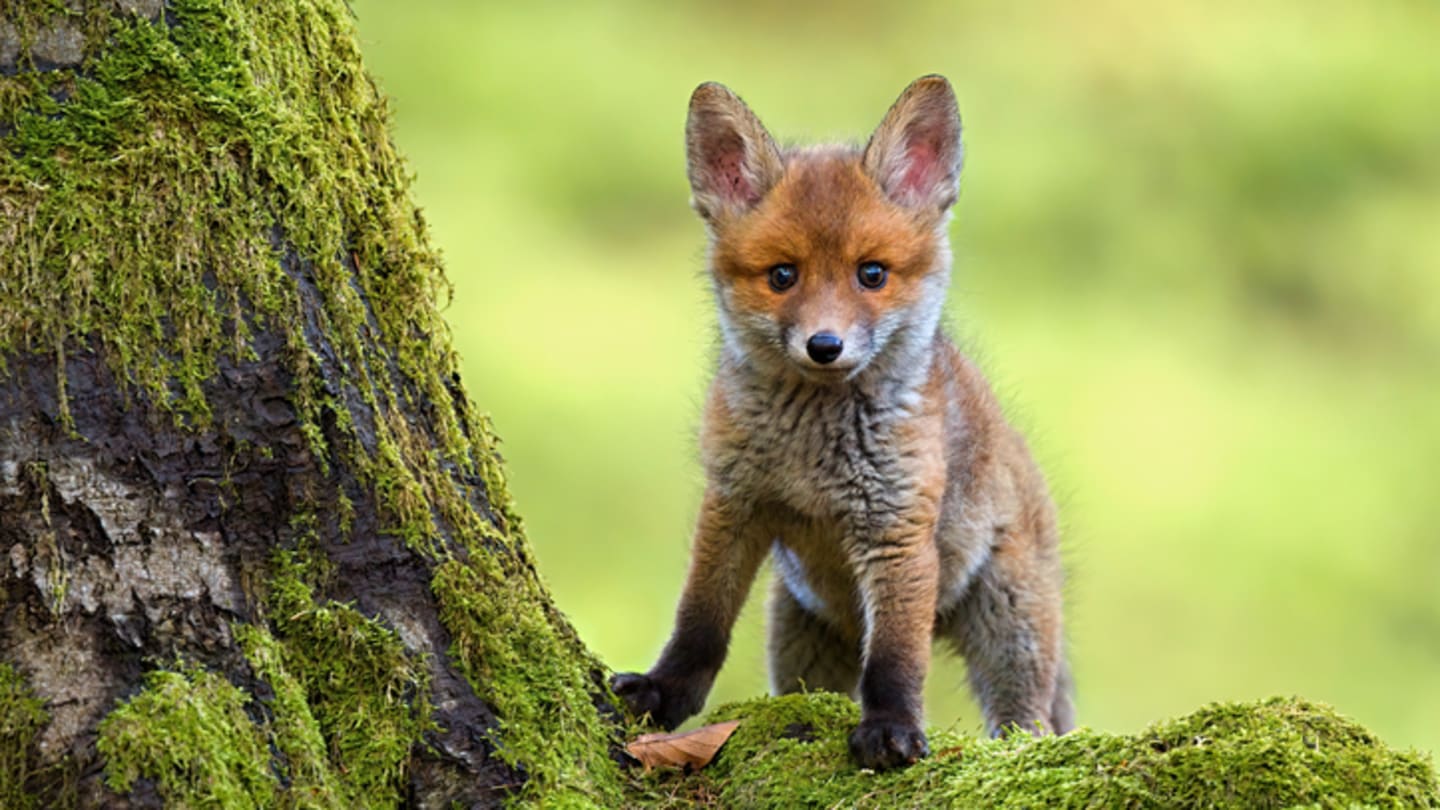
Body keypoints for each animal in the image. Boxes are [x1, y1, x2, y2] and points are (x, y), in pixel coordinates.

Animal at [610, 74, 1074, 771]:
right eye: (782, 275)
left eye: (871, 274)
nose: (824, 346)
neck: (811, 457)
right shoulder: (733, 503)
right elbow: (699, 622)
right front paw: (664, 692)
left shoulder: (897, 529)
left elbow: (895, 659)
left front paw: (891, 729)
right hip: (798, 635)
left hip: (1009, 626)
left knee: (1029, 720)